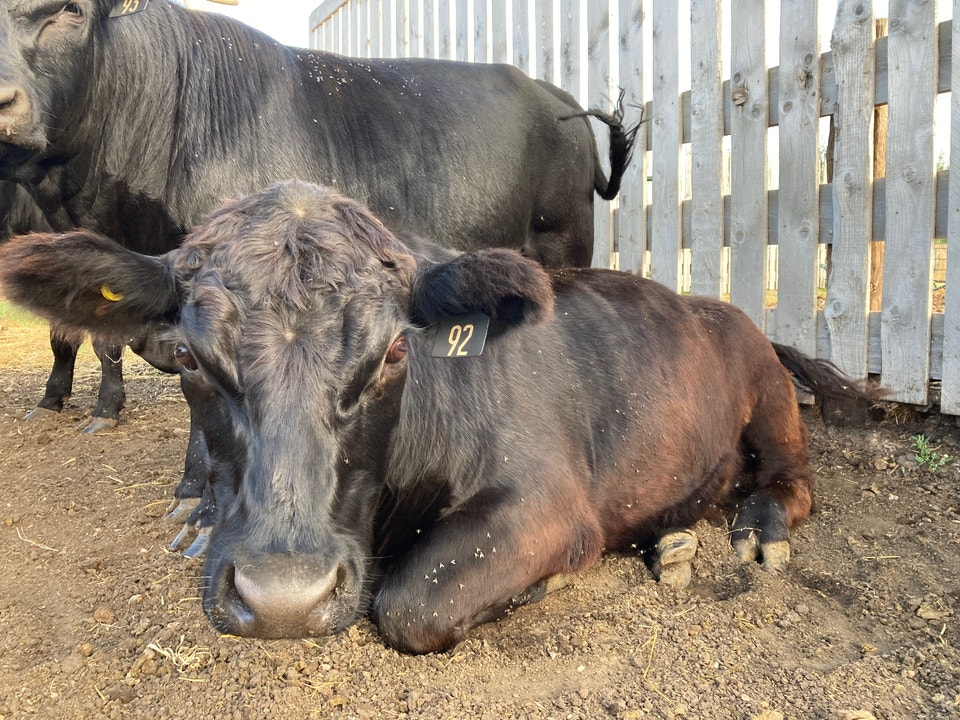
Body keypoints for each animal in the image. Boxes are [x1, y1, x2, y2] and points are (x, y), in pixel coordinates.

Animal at [0, 181, 867, 654]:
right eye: (187, 356)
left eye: (394, 352)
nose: (283, 599)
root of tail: (720, 307)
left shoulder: (545, 503)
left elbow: (411, 602)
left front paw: (543, 584)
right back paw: (672, 542)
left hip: (769, 401)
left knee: (792, 480)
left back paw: (756, 528)